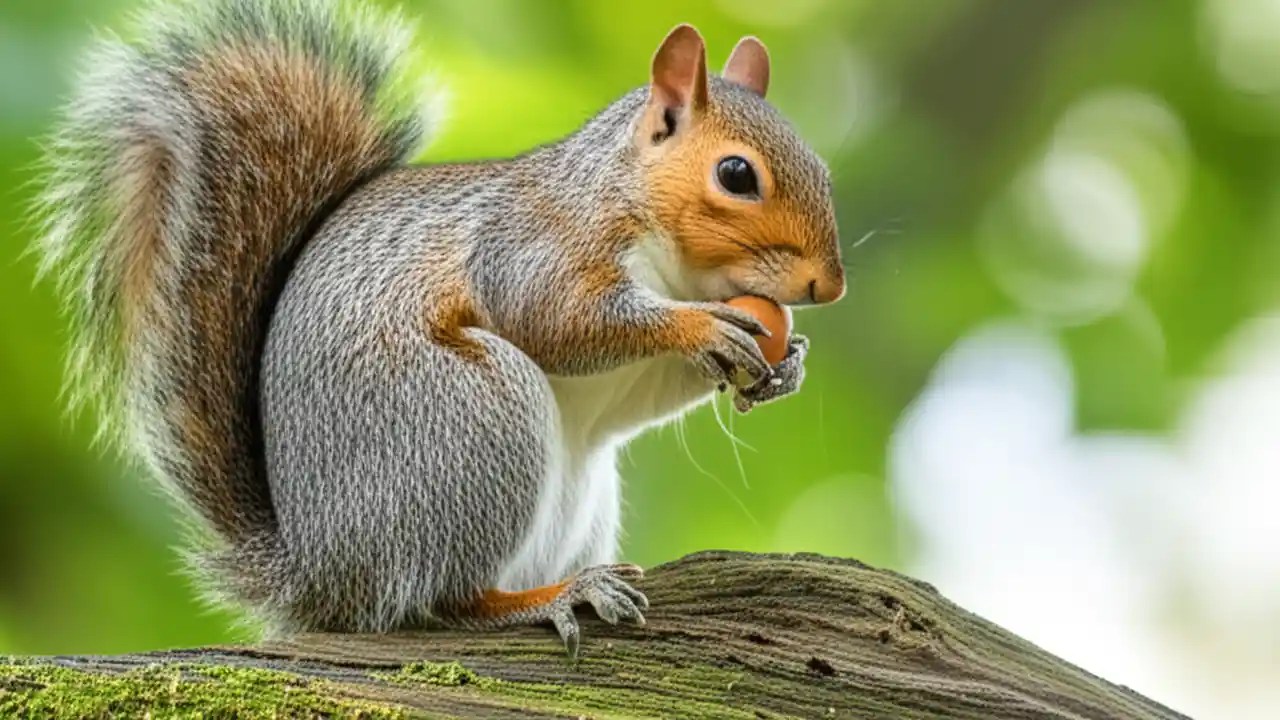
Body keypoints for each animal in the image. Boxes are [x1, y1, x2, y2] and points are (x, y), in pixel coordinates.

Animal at [35, 0, 844, 656]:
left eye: (824, 170)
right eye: (736, 175)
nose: (827, 287)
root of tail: (320, 576)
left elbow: (634, 391)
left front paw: (785, 365)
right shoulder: (533, 245)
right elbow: (559, 319)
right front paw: (703, 330)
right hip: (471, 423)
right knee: (439, 601)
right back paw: (555, 597)